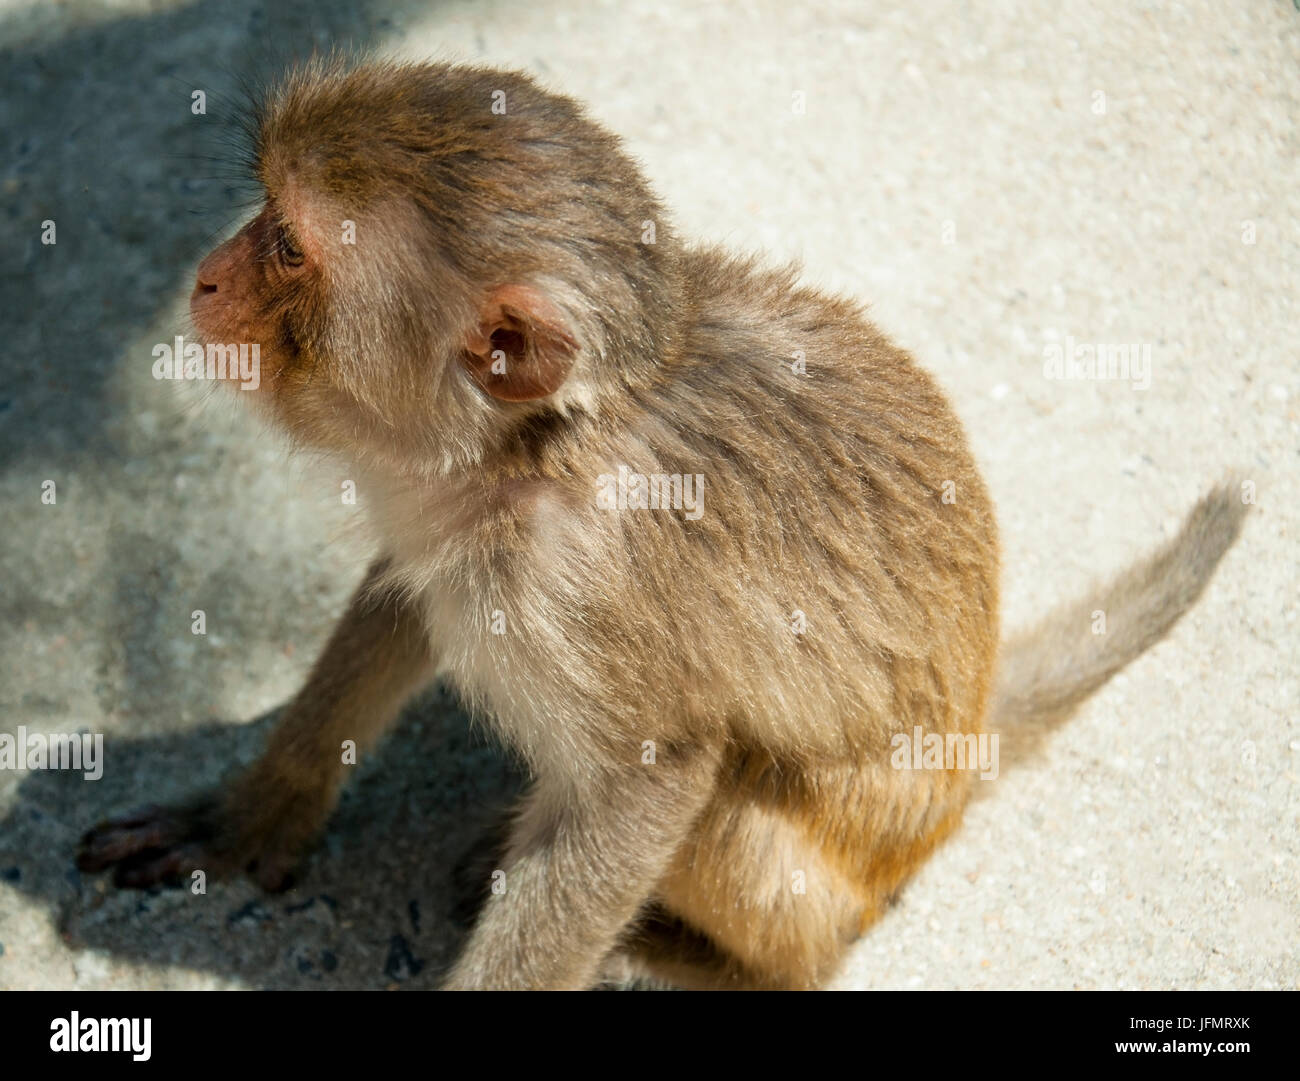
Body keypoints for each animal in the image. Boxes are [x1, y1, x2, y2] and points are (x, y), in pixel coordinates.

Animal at [78, 57, 1247, 990]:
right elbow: (400, 602)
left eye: (288, 246)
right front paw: (251, 814)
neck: (530, 452)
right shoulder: (442, 512)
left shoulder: (578, 584)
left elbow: (653, 783)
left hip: (834, 884)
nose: (208, 275)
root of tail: (963, 764)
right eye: (263, 216)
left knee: (733, 813)